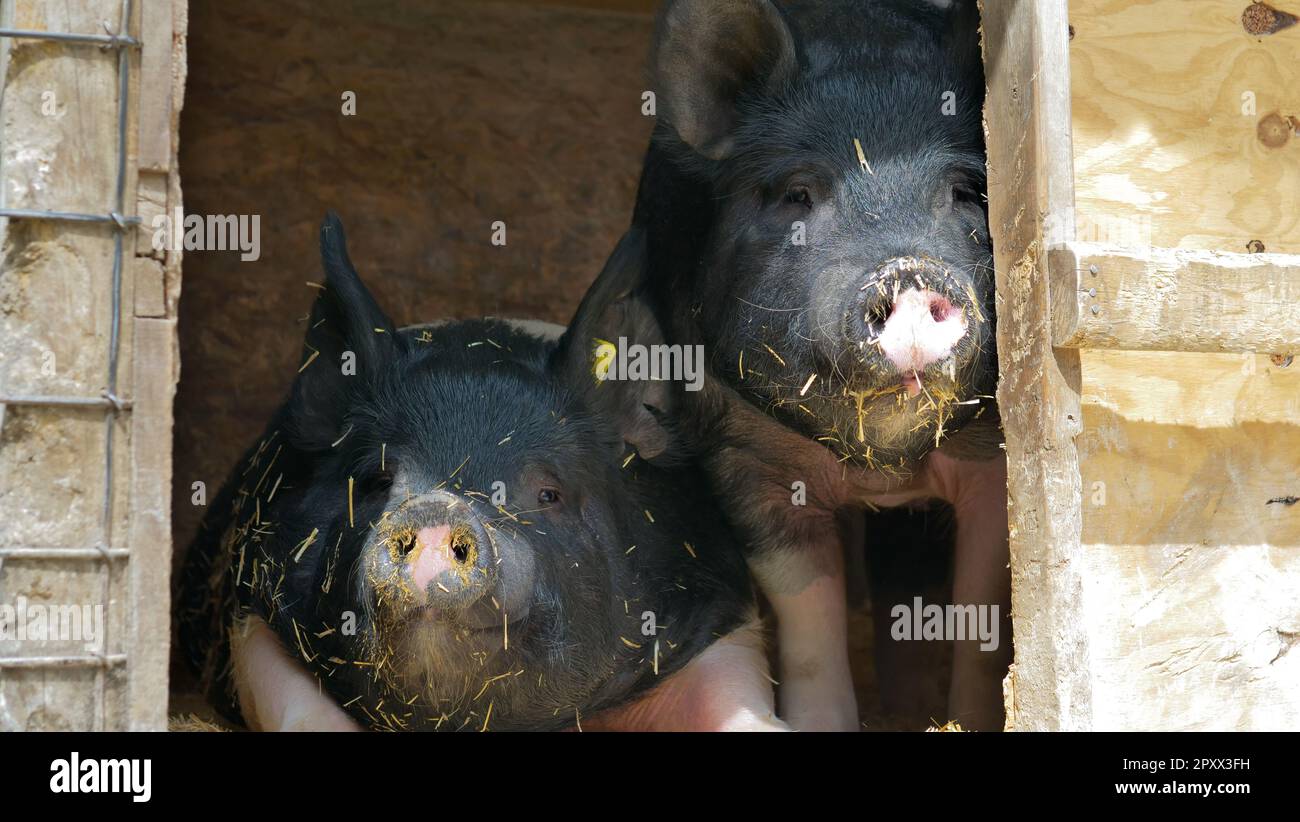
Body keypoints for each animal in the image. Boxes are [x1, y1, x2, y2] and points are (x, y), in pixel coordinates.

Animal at [627, 0, 1011, 730]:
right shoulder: (744, 456)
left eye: (970, 189)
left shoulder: (990, 461)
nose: (906, 272)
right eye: (797, 194)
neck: (880, 468)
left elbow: (982, 611)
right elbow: (808, 613)